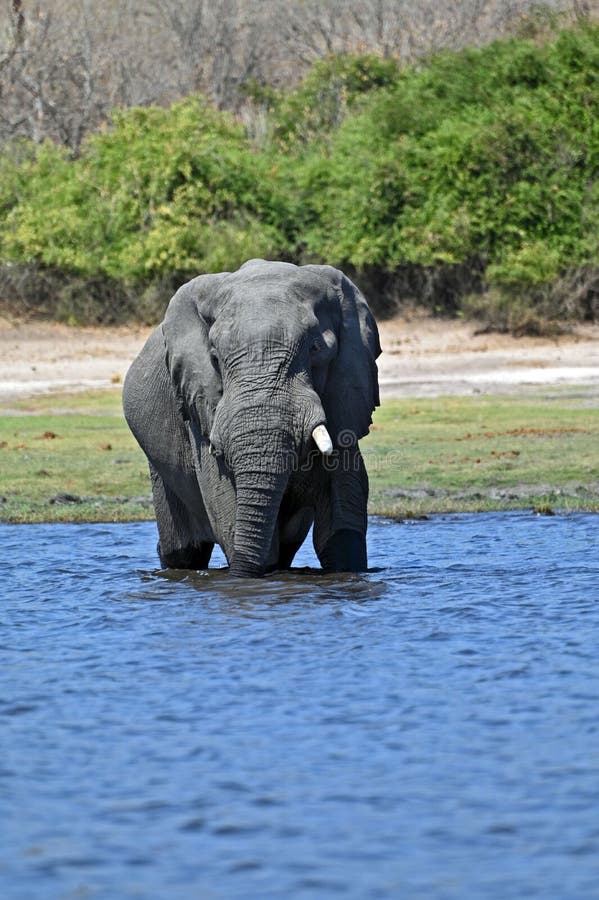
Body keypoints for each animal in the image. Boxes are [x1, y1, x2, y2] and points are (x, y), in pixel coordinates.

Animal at [123, 259, 381, 577]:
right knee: (184, 551)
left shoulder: (344, 394)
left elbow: (341, 529)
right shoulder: (200, 406)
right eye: (215, 358)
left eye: (316, 349)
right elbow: (228, 515)